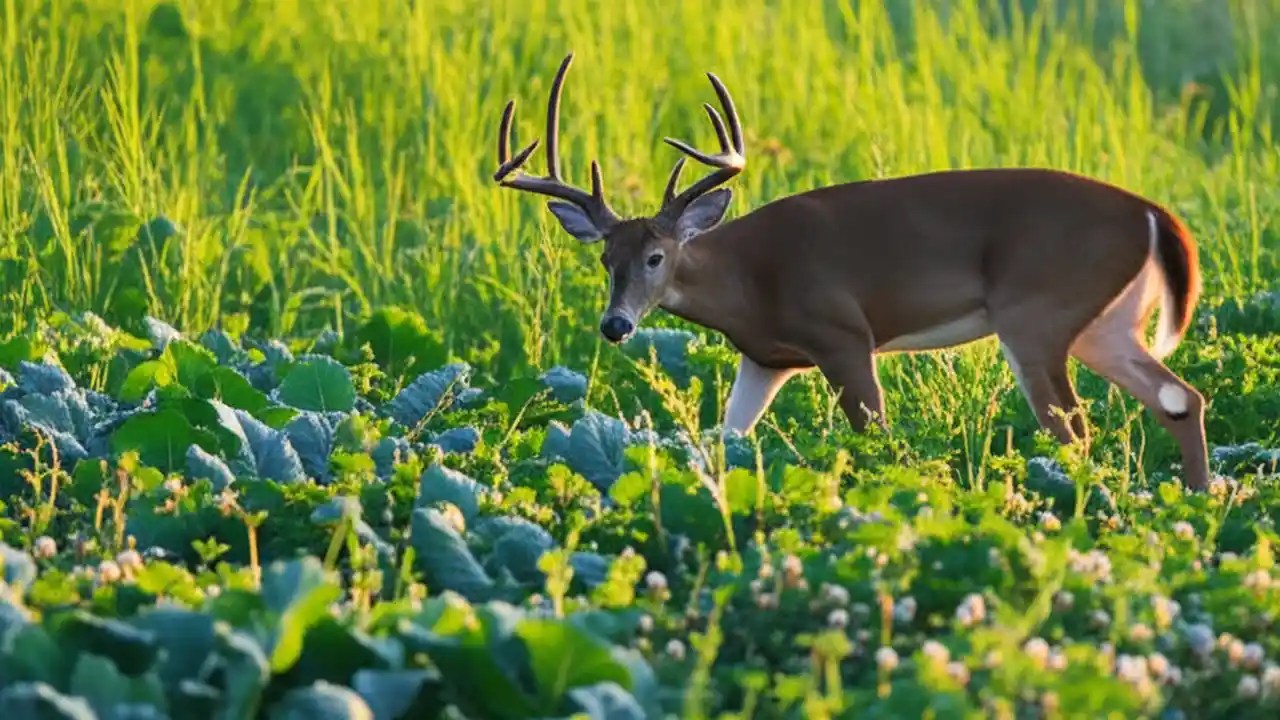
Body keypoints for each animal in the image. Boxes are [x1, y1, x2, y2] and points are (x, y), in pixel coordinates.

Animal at [491, 53, 1211, 491]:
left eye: (656, 256)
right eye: (605, 259)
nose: (614, 325)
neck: (749, 283)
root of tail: (1153, 214)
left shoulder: (842, 334)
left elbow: (877, 436)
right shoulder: (765, 358)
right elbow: (723, 439)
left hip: (1037, 314)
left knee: (1075, 431)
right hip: (1102, 324)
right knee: (1180, 399)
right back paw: (1197, 502)